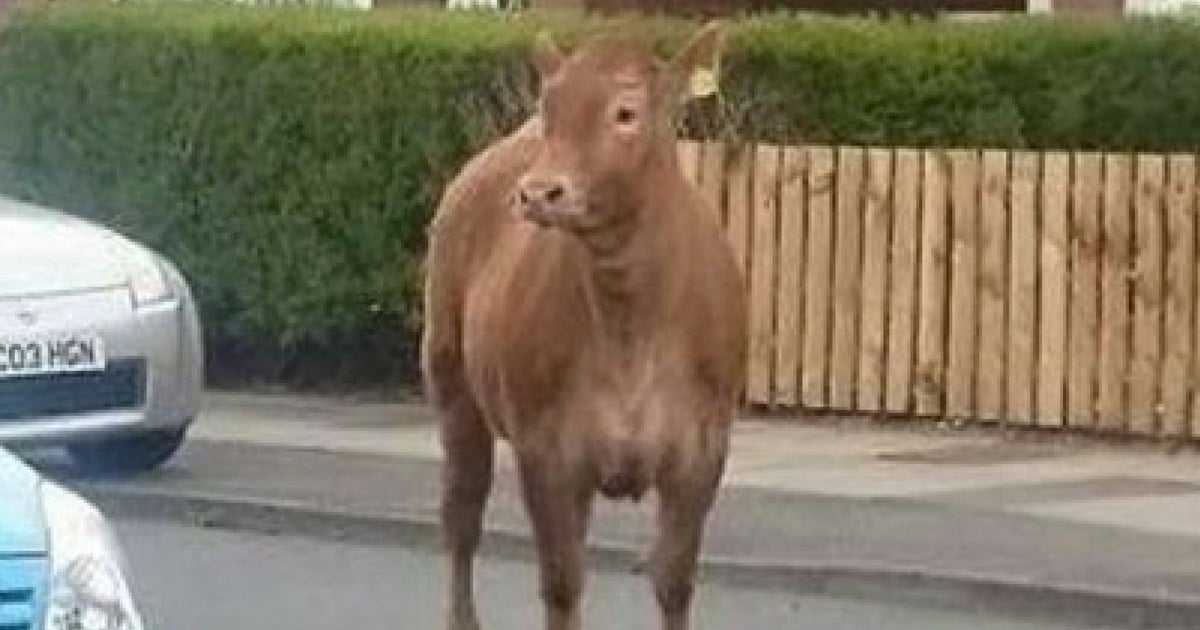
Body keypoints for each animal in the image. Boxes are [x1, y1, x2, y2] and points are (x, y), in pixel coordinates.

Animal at [420, 20, 747, 630]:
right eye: (550, 106)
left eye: (626, 112)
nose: (537, 192)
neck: (630, 323)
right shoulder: (545, 448)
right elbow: (562, 583)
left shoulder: (704, 446)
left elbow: (674, 579)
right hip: (449, 378)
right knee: (461, 515)